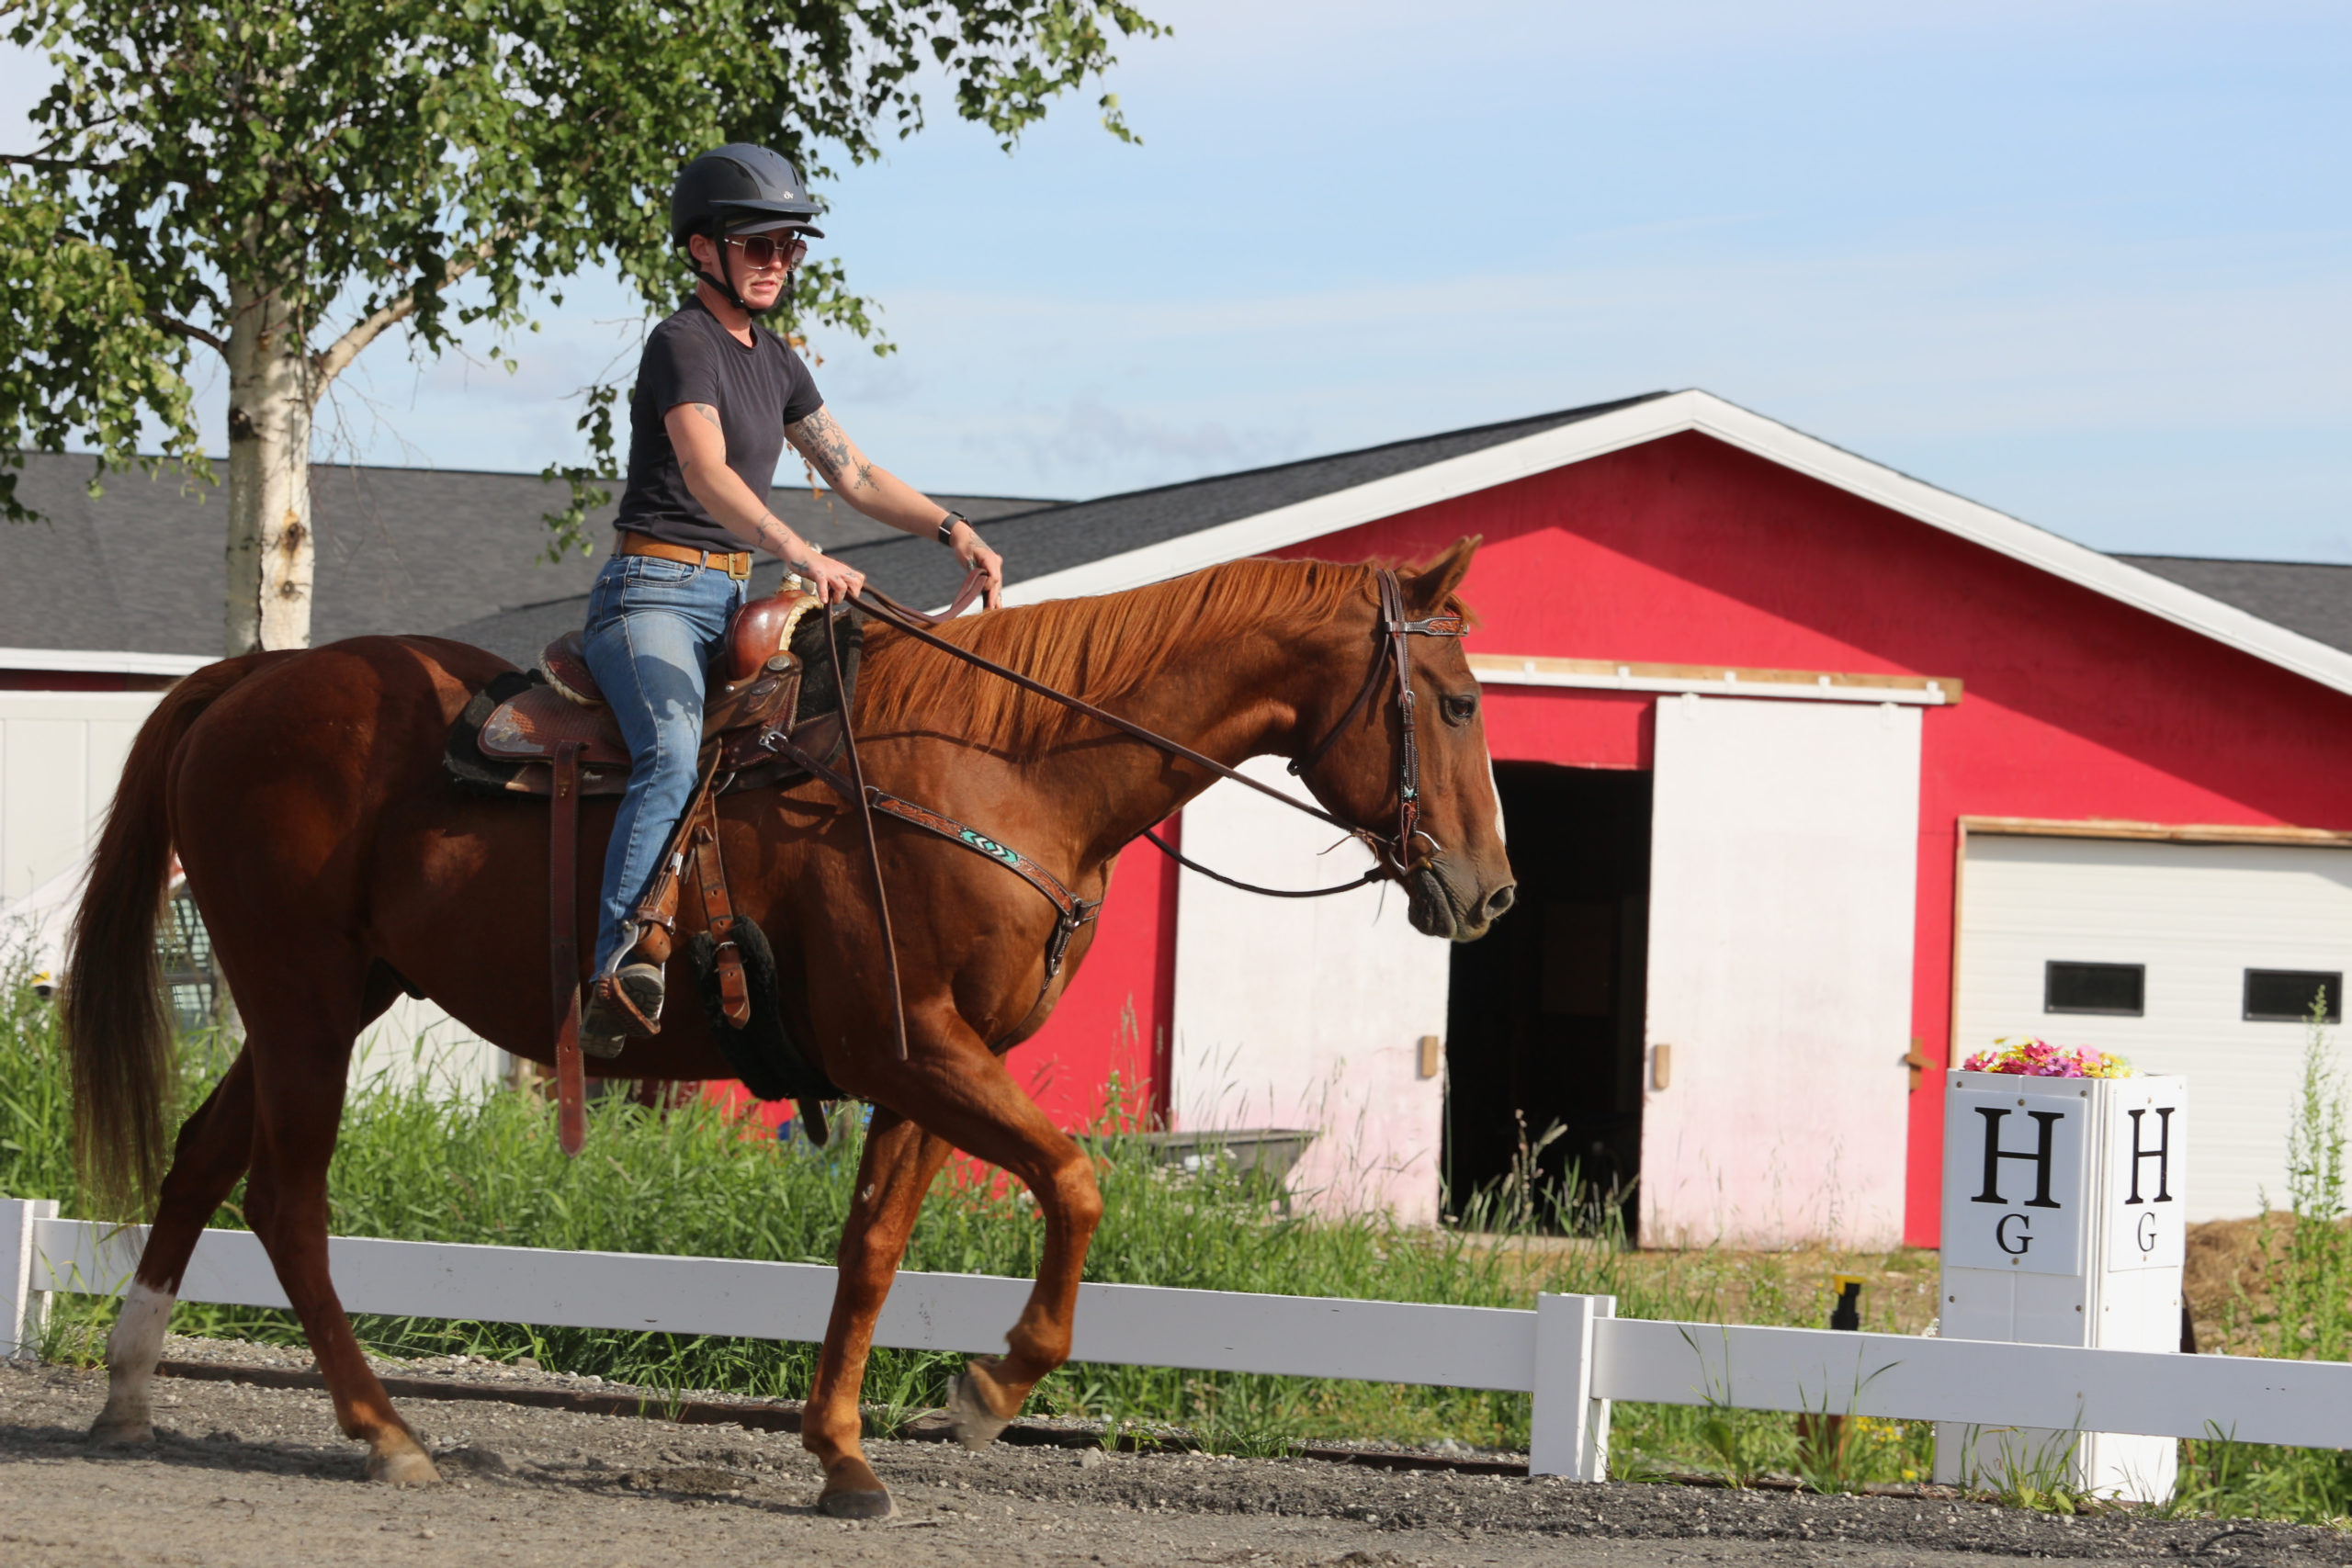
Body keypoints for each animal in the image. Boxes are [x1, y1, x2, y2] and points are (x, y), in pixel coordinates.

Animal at [62, 538, 1516, 1518]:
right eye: (1455, 701)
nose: (1490, 890)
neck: (1003, 766)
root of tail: (253, 679)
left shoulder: (925, 1066)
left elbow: (871, 1246)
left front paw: (842, 1452)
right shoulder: (912, 1047)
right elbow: (1079, 1180)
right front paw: (992, 1387)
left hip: (321, 1000)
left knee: (202, 1158)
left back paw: (130, 1393)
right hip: (302, 1000)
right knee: (285, 1197)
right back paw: (383, 1429)